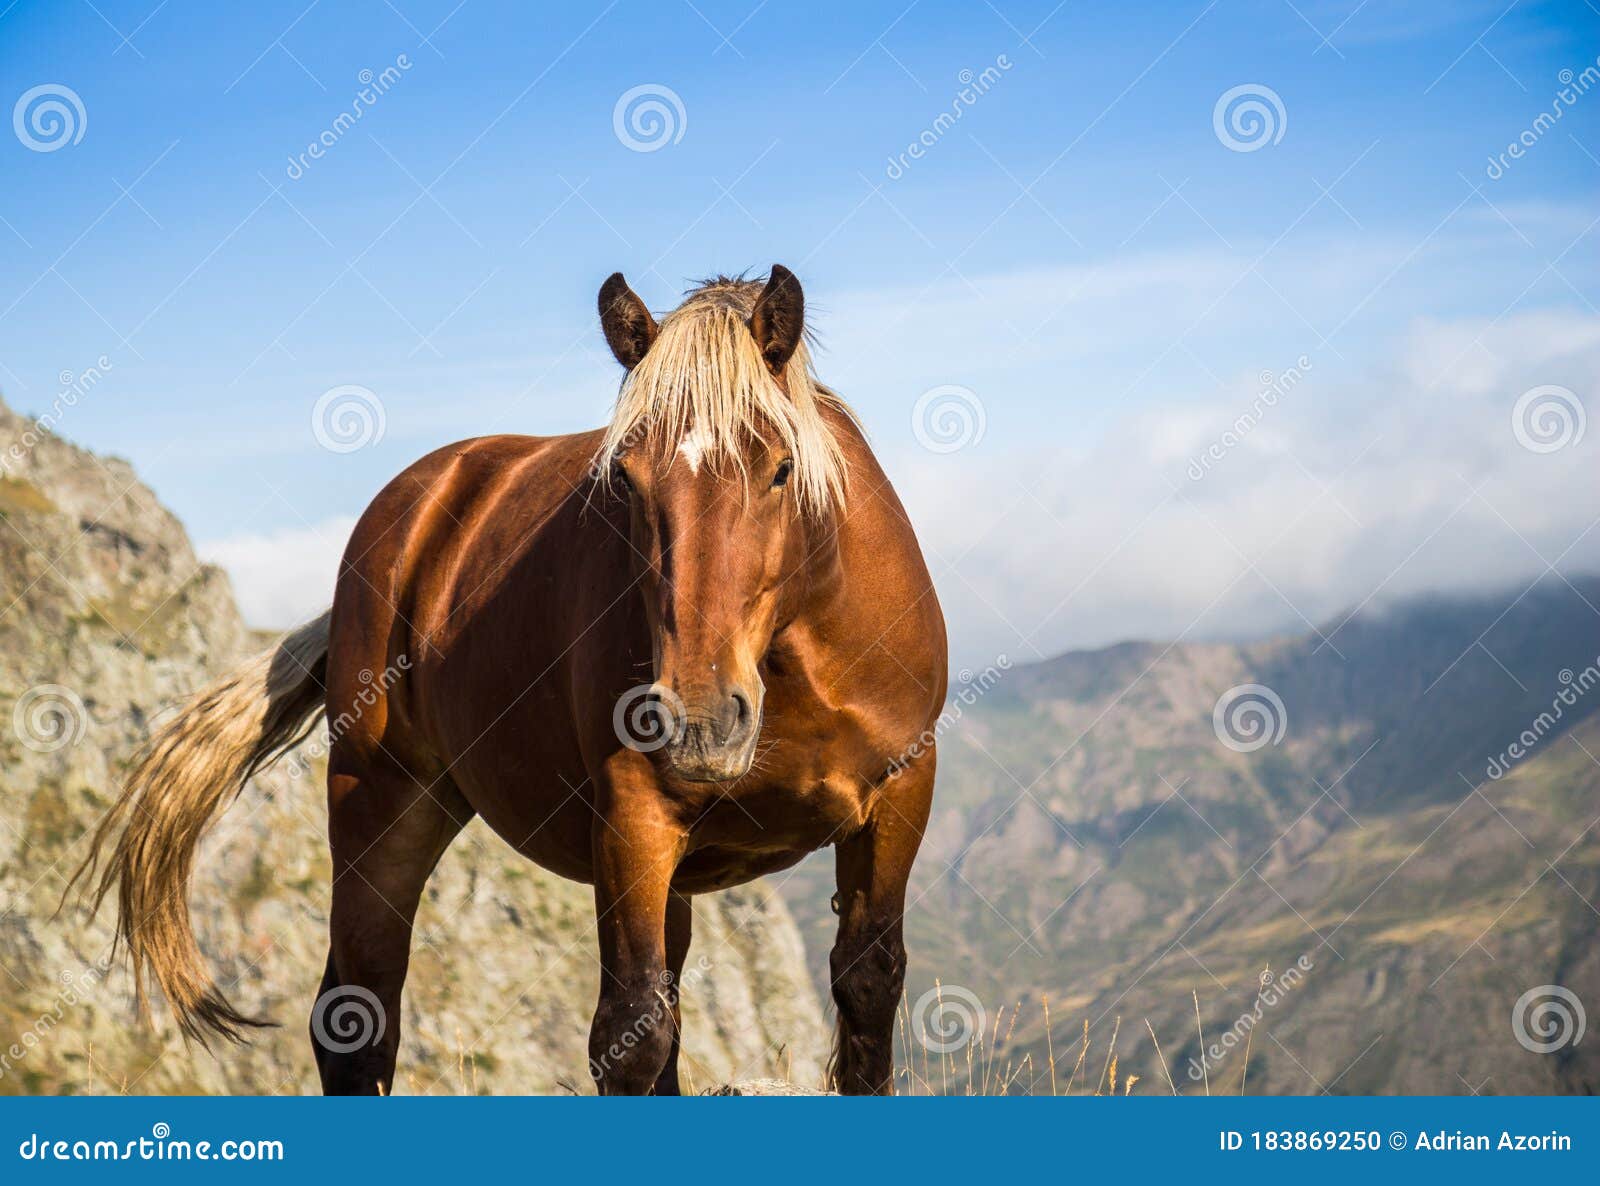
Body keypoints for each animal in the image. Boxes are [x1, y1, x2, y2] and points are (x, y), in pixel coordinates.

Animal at [76, 266, 948, 1095]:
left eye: (780, 469)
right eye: (626, 479)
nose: (699, 719)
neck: (799, 659)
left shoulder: (898, 798)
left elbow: (866, 987)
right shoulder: (632, 818)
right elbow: (629, 1034)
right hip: (382, 809)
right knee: (360, 1019)